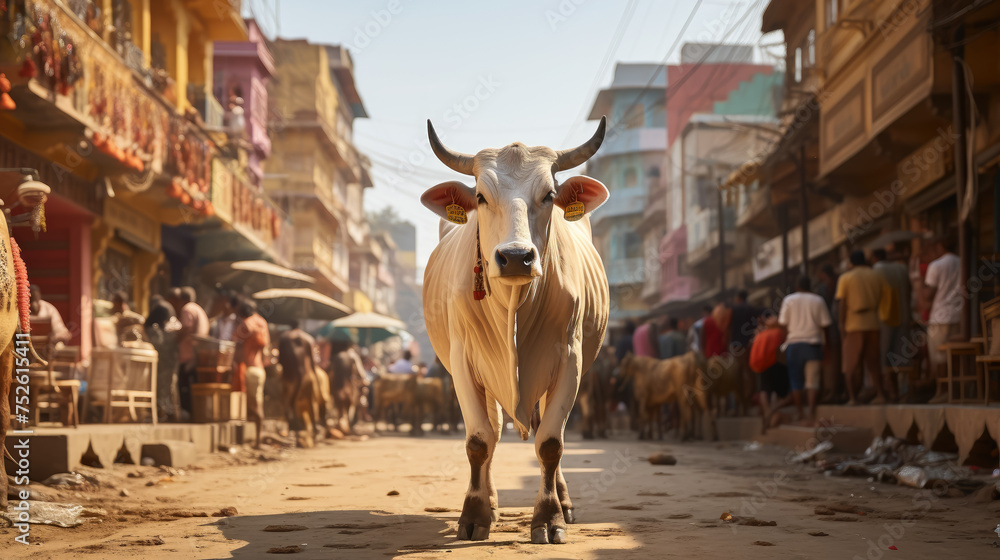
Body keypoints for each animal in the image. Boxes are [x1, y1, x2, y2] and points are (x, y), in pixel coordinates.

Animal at [421, 118, 609, 544]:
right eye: (480, 196)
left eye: (550, 194)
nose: (516, 257)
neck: (514, 303)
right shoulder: (464, 362)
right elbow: (479, 441)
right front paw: (474, 515)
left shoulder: (569, 361)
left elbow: (551, 444)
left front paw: (550, 517)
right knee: (492, 432)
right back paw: (490, 503)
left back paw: (563, 500)